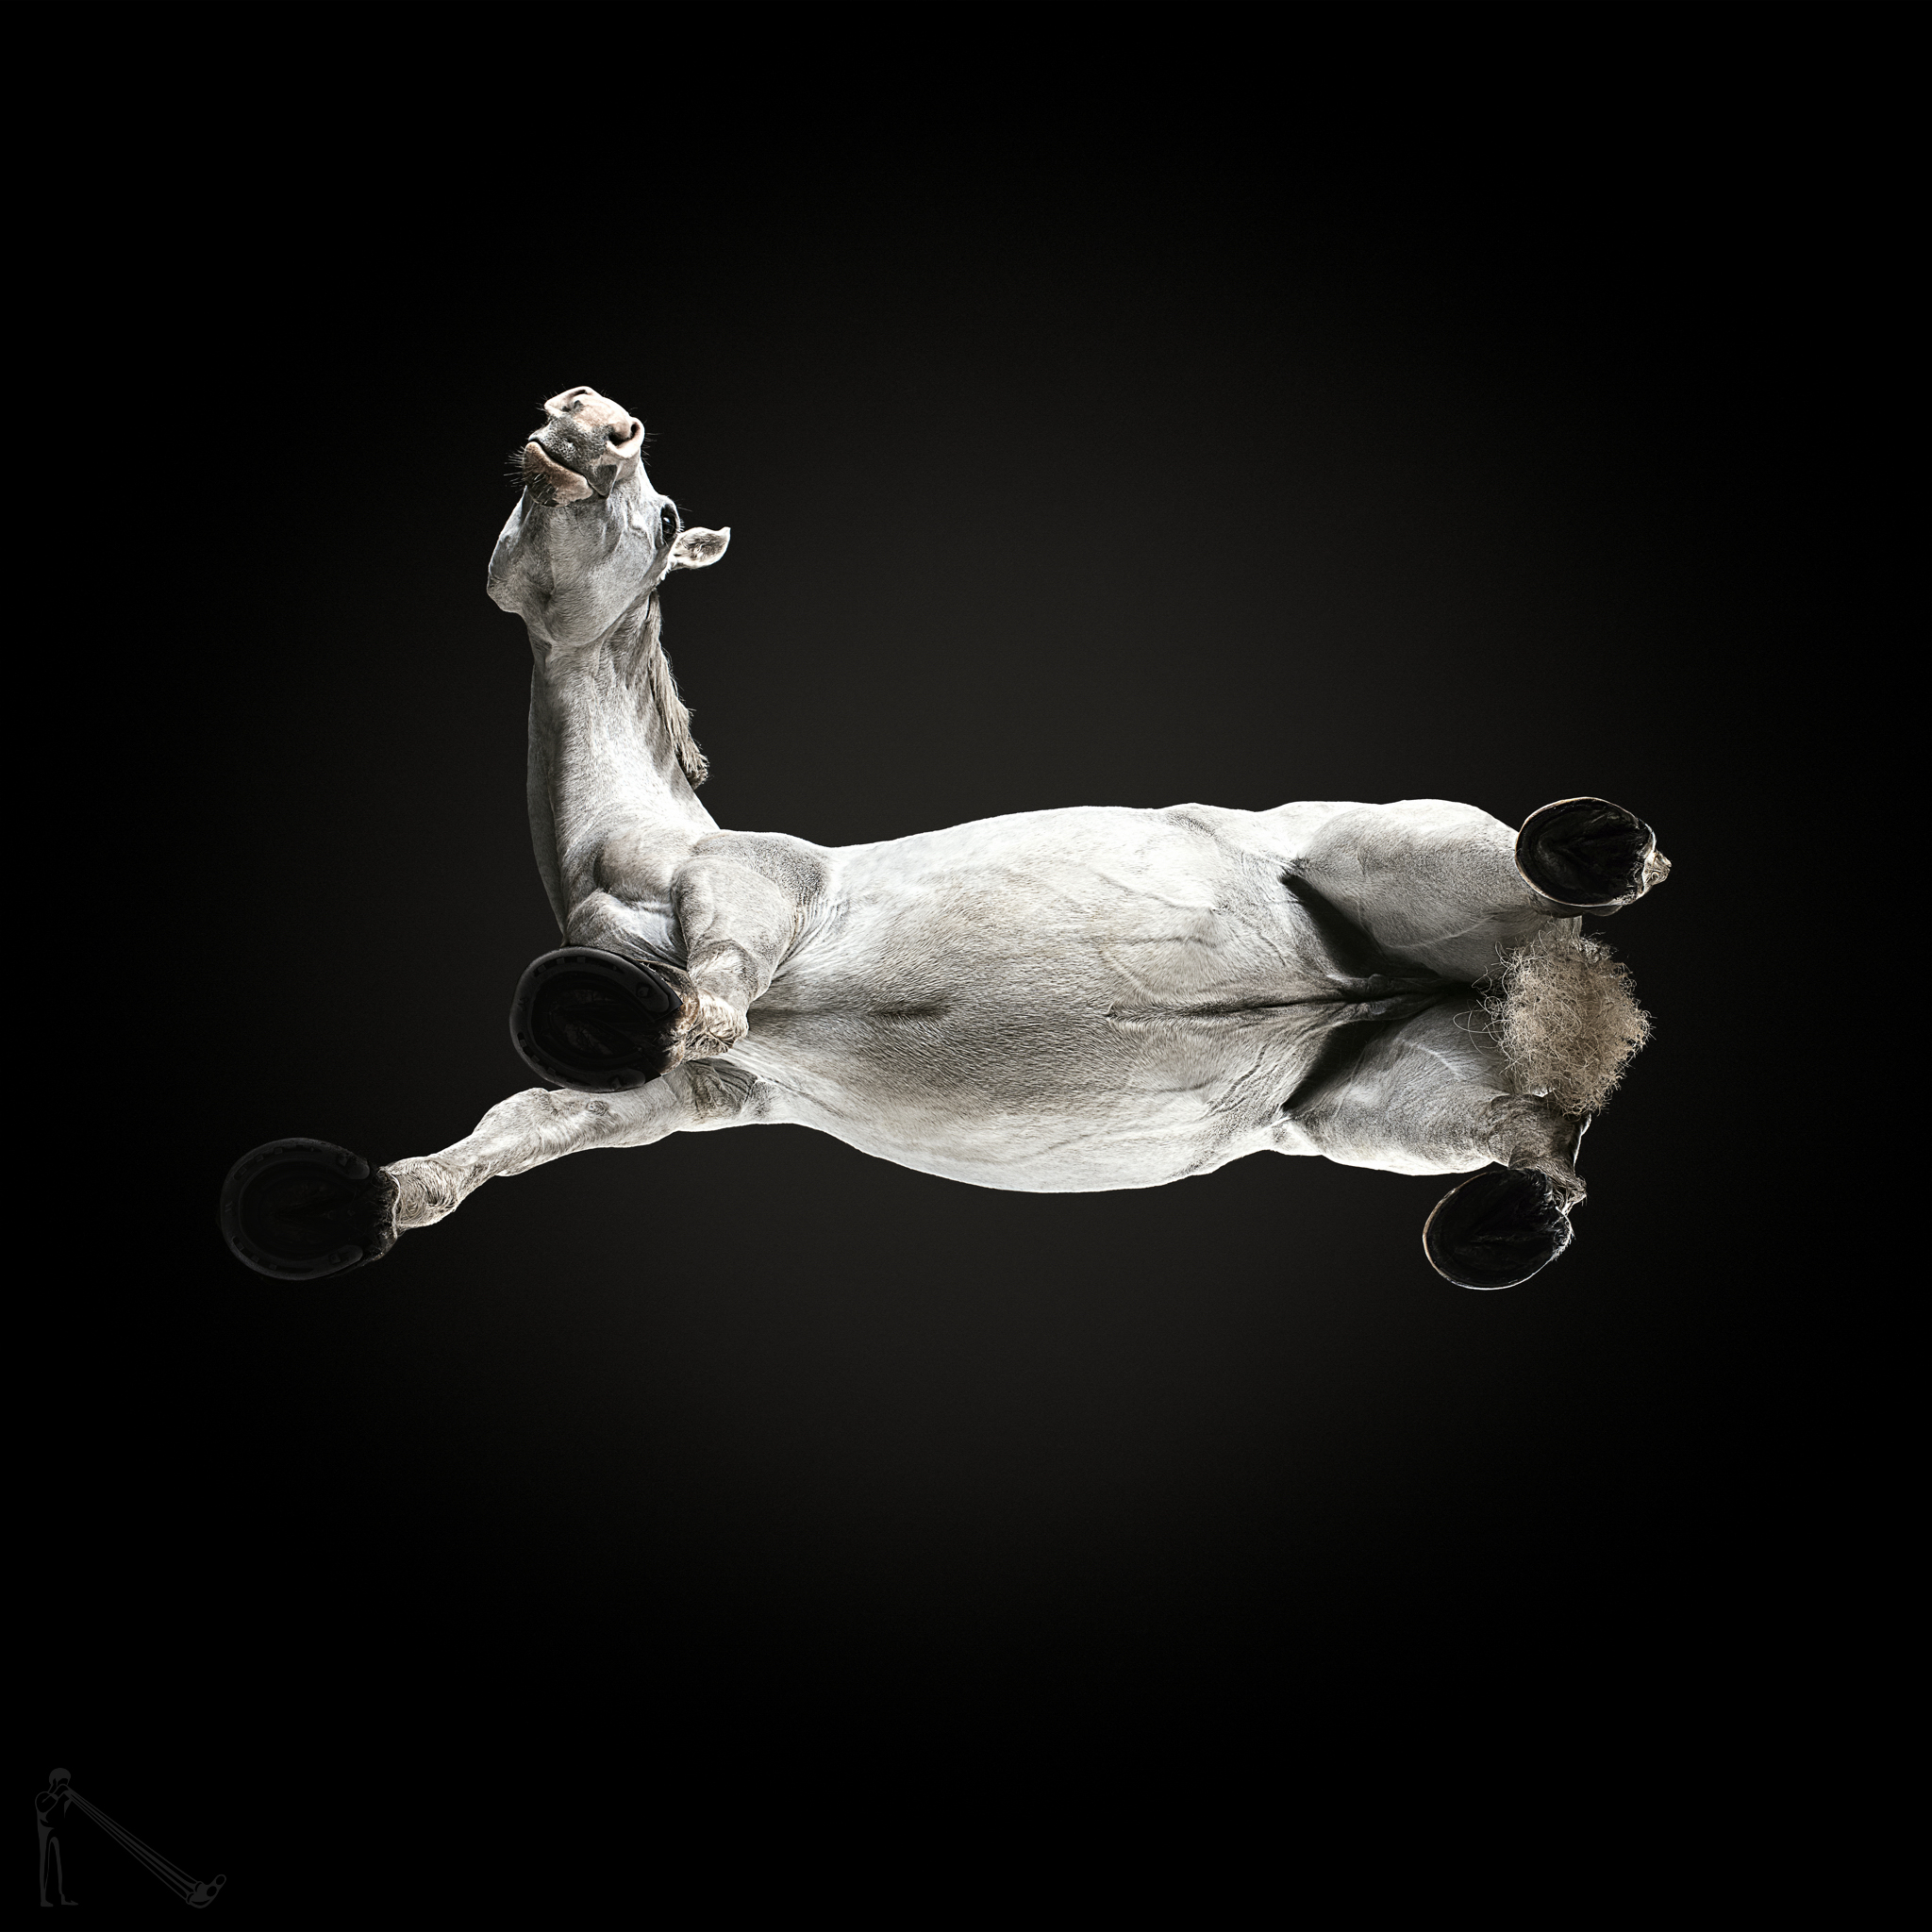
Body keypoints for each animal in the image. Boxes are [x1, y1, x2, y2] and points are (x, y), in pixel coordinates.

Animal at [220, 385, 1666, 1293]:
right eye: (537, 459)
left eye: (660, 494)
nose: (588, 418)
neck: (640, 851)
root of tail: (1549, 994)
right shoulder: (689, 1094)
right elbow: (523, 1120)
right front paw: (331, 1202)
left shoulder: (752, 913)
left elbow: (702, 998)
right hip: (1395, 1090)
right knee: (1544, 1149)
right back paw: (1510, 1200)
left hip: (1399, 863)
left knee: (1562, 885)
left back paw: (1601, 849)